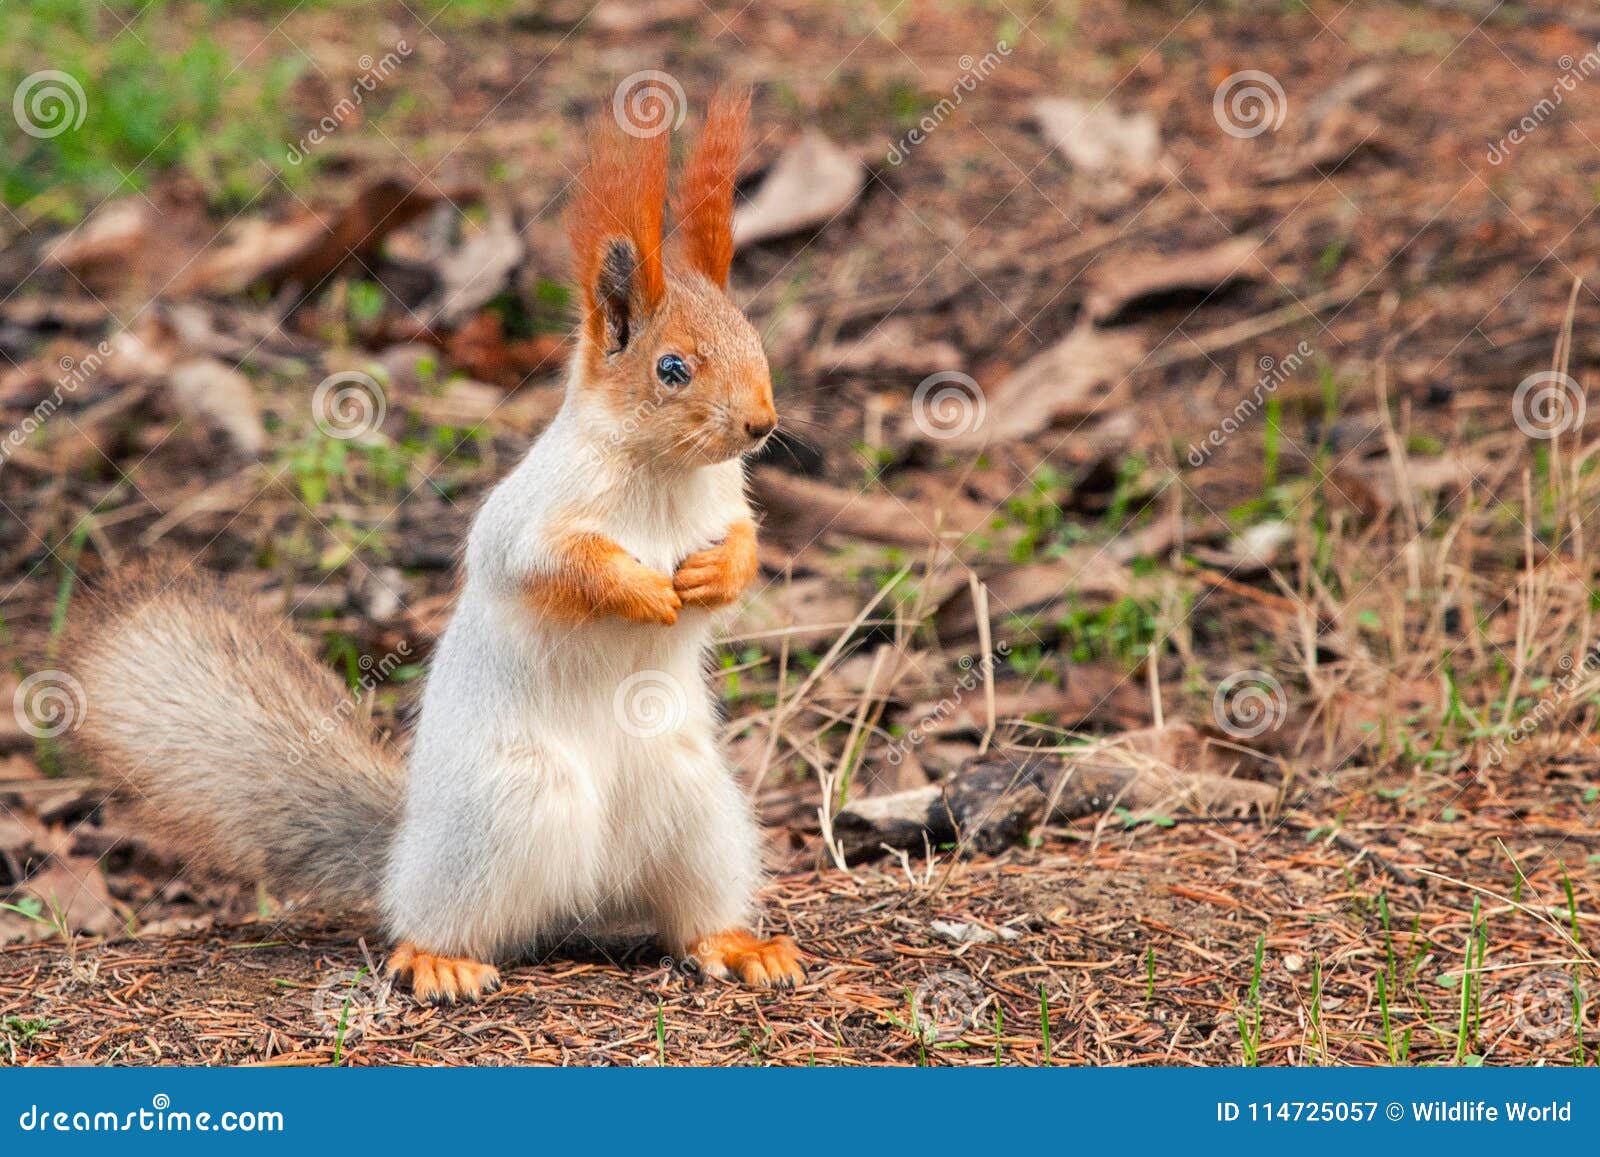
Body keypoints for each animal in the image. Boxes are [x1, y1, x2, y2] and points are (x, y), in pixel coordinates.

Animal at [67, 90, 803, 1004]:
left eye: (755, 340)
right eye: (672, 369)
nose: (761, 424)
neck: (664, 480)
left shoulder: (725, 500)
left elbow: (746, 544)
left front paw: (714, 572)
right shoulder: (525, 517)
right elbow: (548, 563)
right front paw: (641, 589)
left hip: (700, 811)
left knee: (690, 906)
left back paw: (737, 944)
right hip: (506, 808)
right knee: (437, 915)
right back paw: (439, 957)